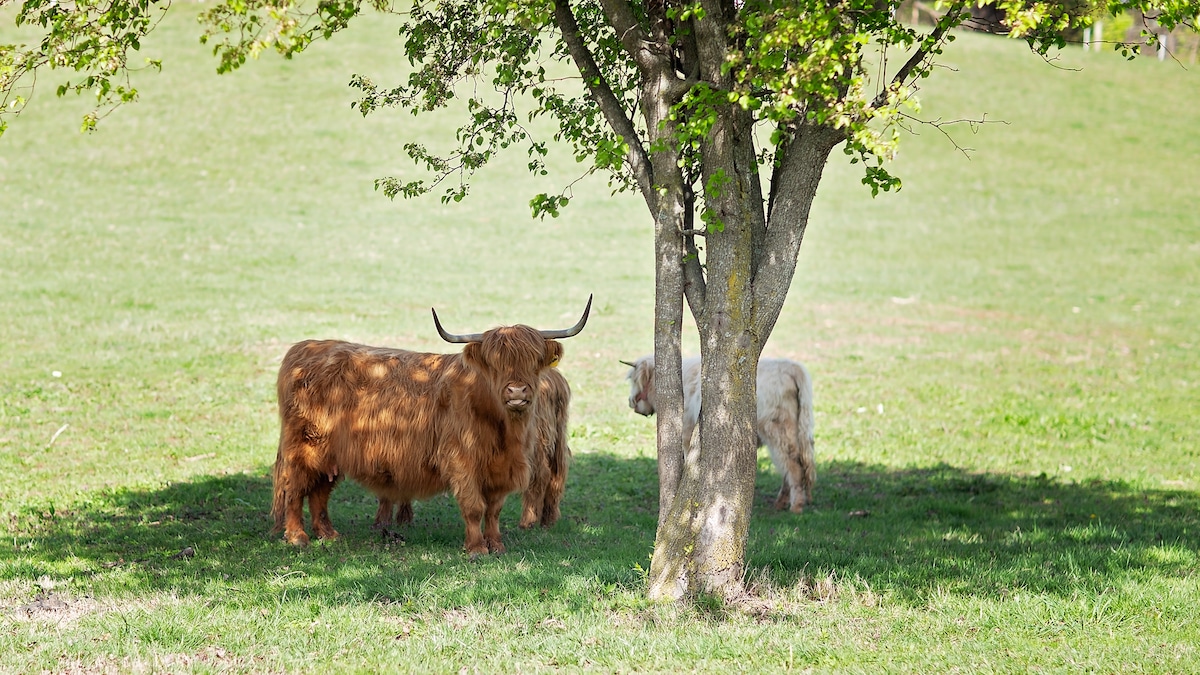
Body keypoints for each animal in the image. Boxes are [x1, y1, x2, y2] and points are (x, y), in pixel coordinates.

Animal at [373, 366, 572, 531]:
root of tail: (555, 380)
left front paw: (388, 519)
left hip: (534, 444)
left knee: (541, 476)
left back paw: (528, 521)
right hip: (557, 439)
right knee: (556, 476)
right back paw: (548, 520)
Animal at [622, 354, 816, 512]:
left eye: (633, 380)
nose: (631, 402)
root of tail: (789, 366)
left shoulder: (687, 432)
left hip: (777, 432)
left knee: (792, 466)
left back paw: (796, 506)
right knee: (789, 466)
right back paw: (781, 502)